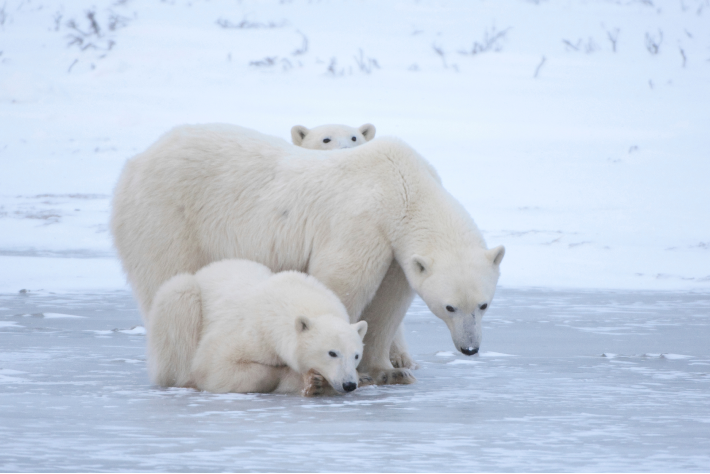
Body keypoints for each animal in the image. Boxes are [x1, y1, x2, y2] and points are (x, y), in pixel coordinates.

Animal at [147, 259, 368, 396]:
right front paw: (308, 380)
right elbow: (213, 366)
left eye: (356, 355)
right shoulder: (252, 332)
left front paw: (317, 384)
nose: (349, 384)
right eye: (332, 353)